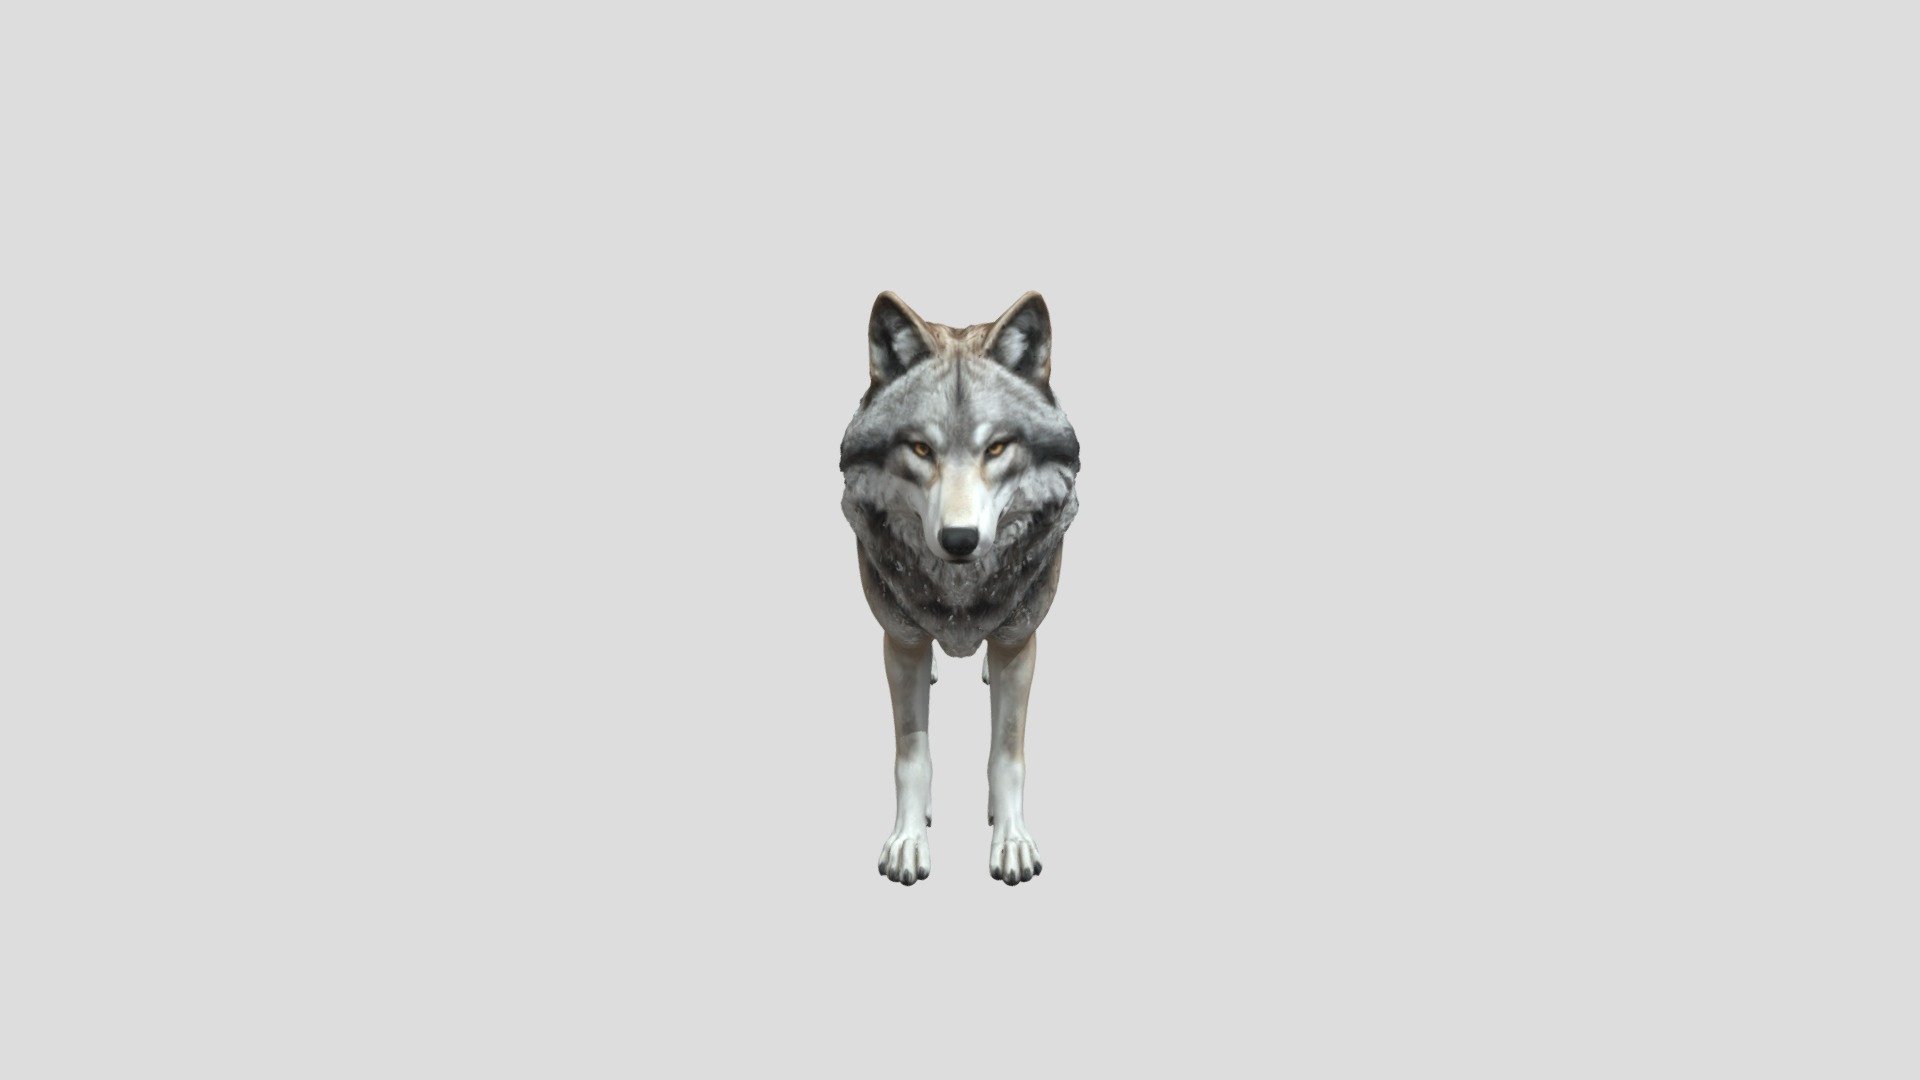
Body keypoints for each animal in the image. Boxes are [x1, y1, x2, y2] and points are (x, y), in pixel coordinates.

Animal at [839, 291, 1081, 887]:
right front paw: (908, 839)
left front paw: (1011, 839)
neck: (958, 596)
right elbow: (911, 756)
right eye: (921, 448)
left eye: (997, 447)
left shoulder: (1018, 638)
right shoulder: (901, 640)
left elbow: (1008, 754)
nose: (959, 539)